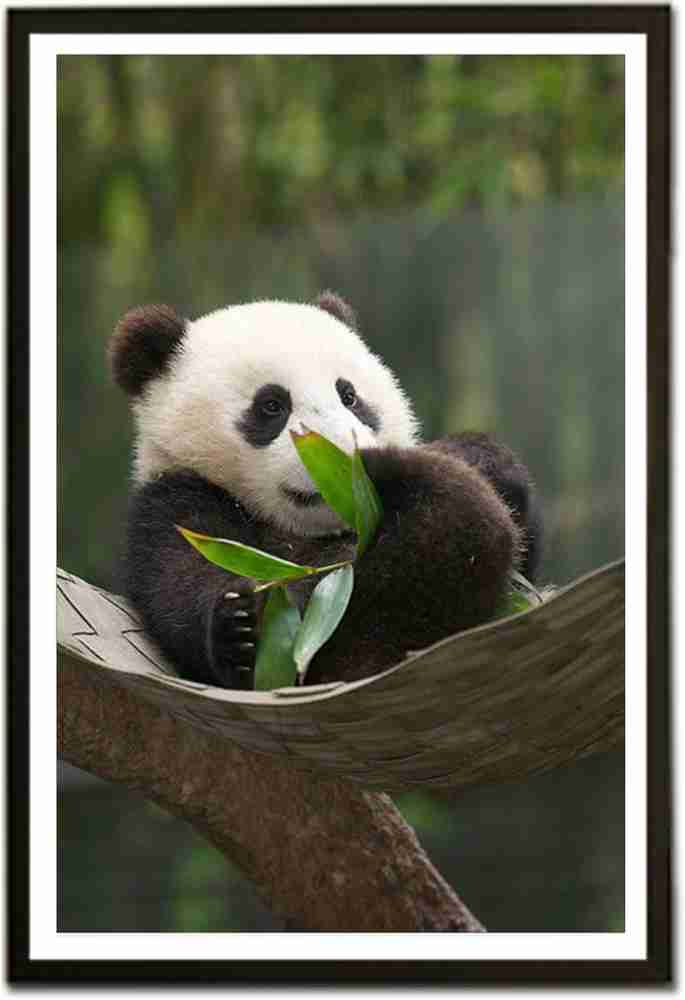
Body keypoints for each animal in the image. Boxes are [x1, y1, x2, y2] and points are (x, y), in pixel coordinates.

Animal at [109, 292, 541, 690]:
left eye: (349, 396)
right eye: (271, 405)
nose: (343, 456)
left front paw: (476, 458)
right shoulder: (177, 498)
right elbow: (181, 576)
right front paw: (242, 627)